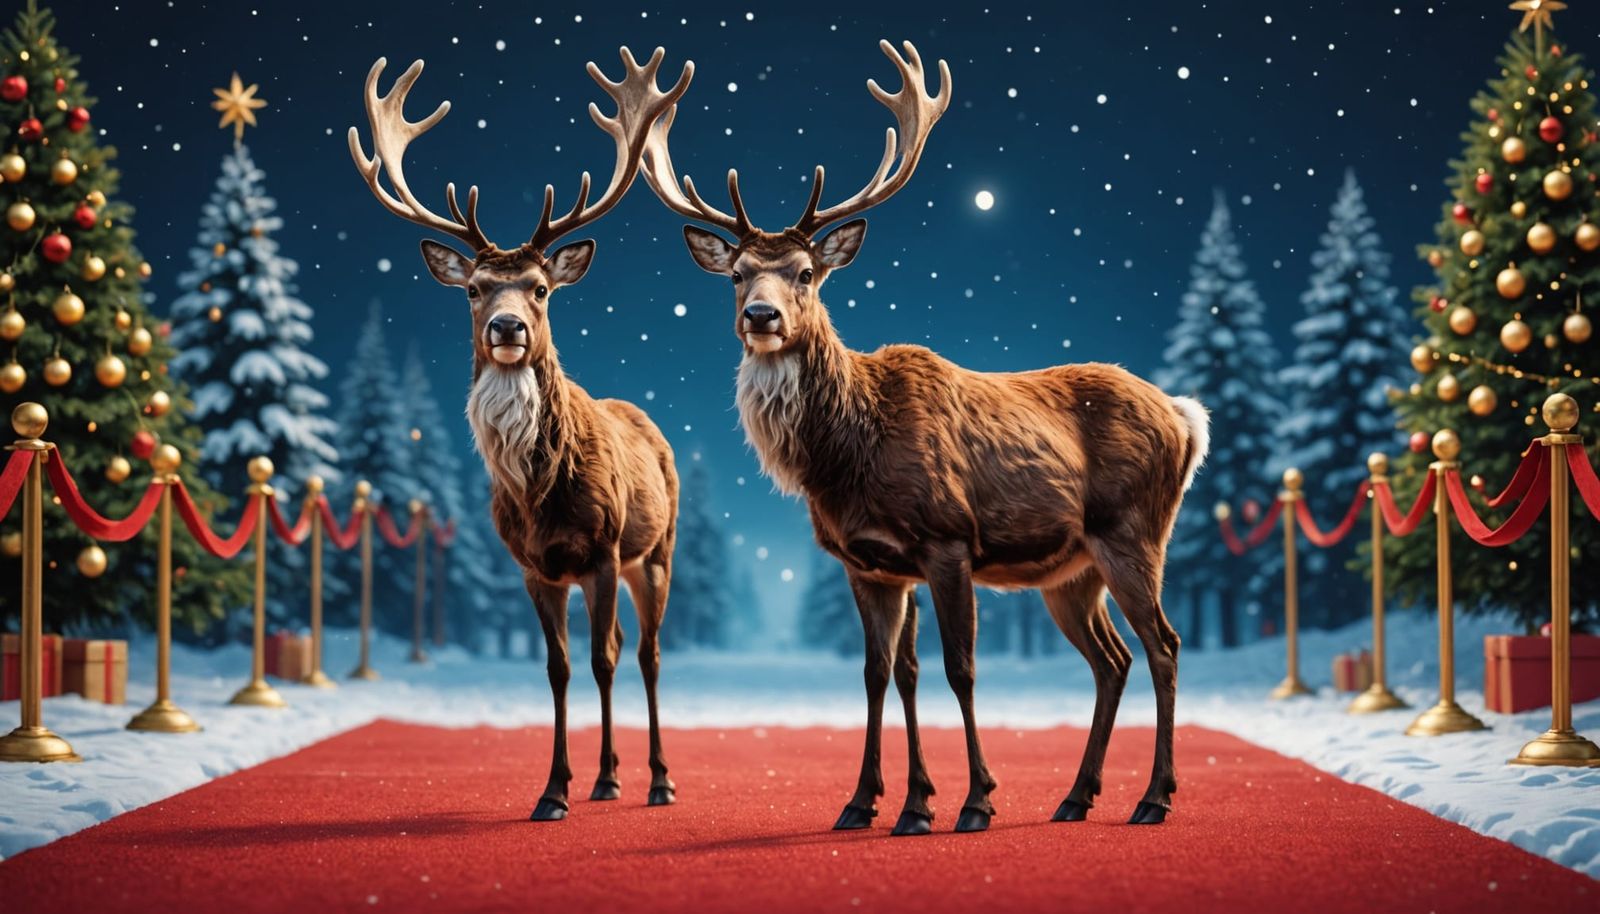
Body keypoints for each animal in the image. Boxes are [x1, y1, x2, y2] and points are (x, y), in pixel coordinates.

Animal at [349, 47, 692, 821]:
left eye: (540, 287)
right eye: (474, 288)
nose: (507, 328)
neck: (540, 494)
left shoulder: (602, 549)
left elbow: (601, 661)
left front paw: (601, 781)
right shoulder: (534, 567)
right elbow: (559, 668)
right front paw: (555, 790)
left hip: (655, 549)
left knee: (646, 653)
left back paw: (657, 778)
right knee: (620, 646)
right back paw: (615, 773)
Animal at [642, 40, 1209, 835]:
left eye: (807, 273)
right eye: (738, 275)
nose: (761, 316)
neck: (847, 457)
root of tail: (1187, 418)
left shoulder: (948, 539)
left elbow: (959, 671)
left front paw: (975, 800)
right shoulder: (871, 563)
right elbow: (886, 674)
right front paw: (882, 802)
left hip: (1132, 531)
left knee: (1164, 644)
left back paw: (1153, 797)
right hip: (1071, 571)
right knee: (1113, 659)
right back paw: (1076, 796)